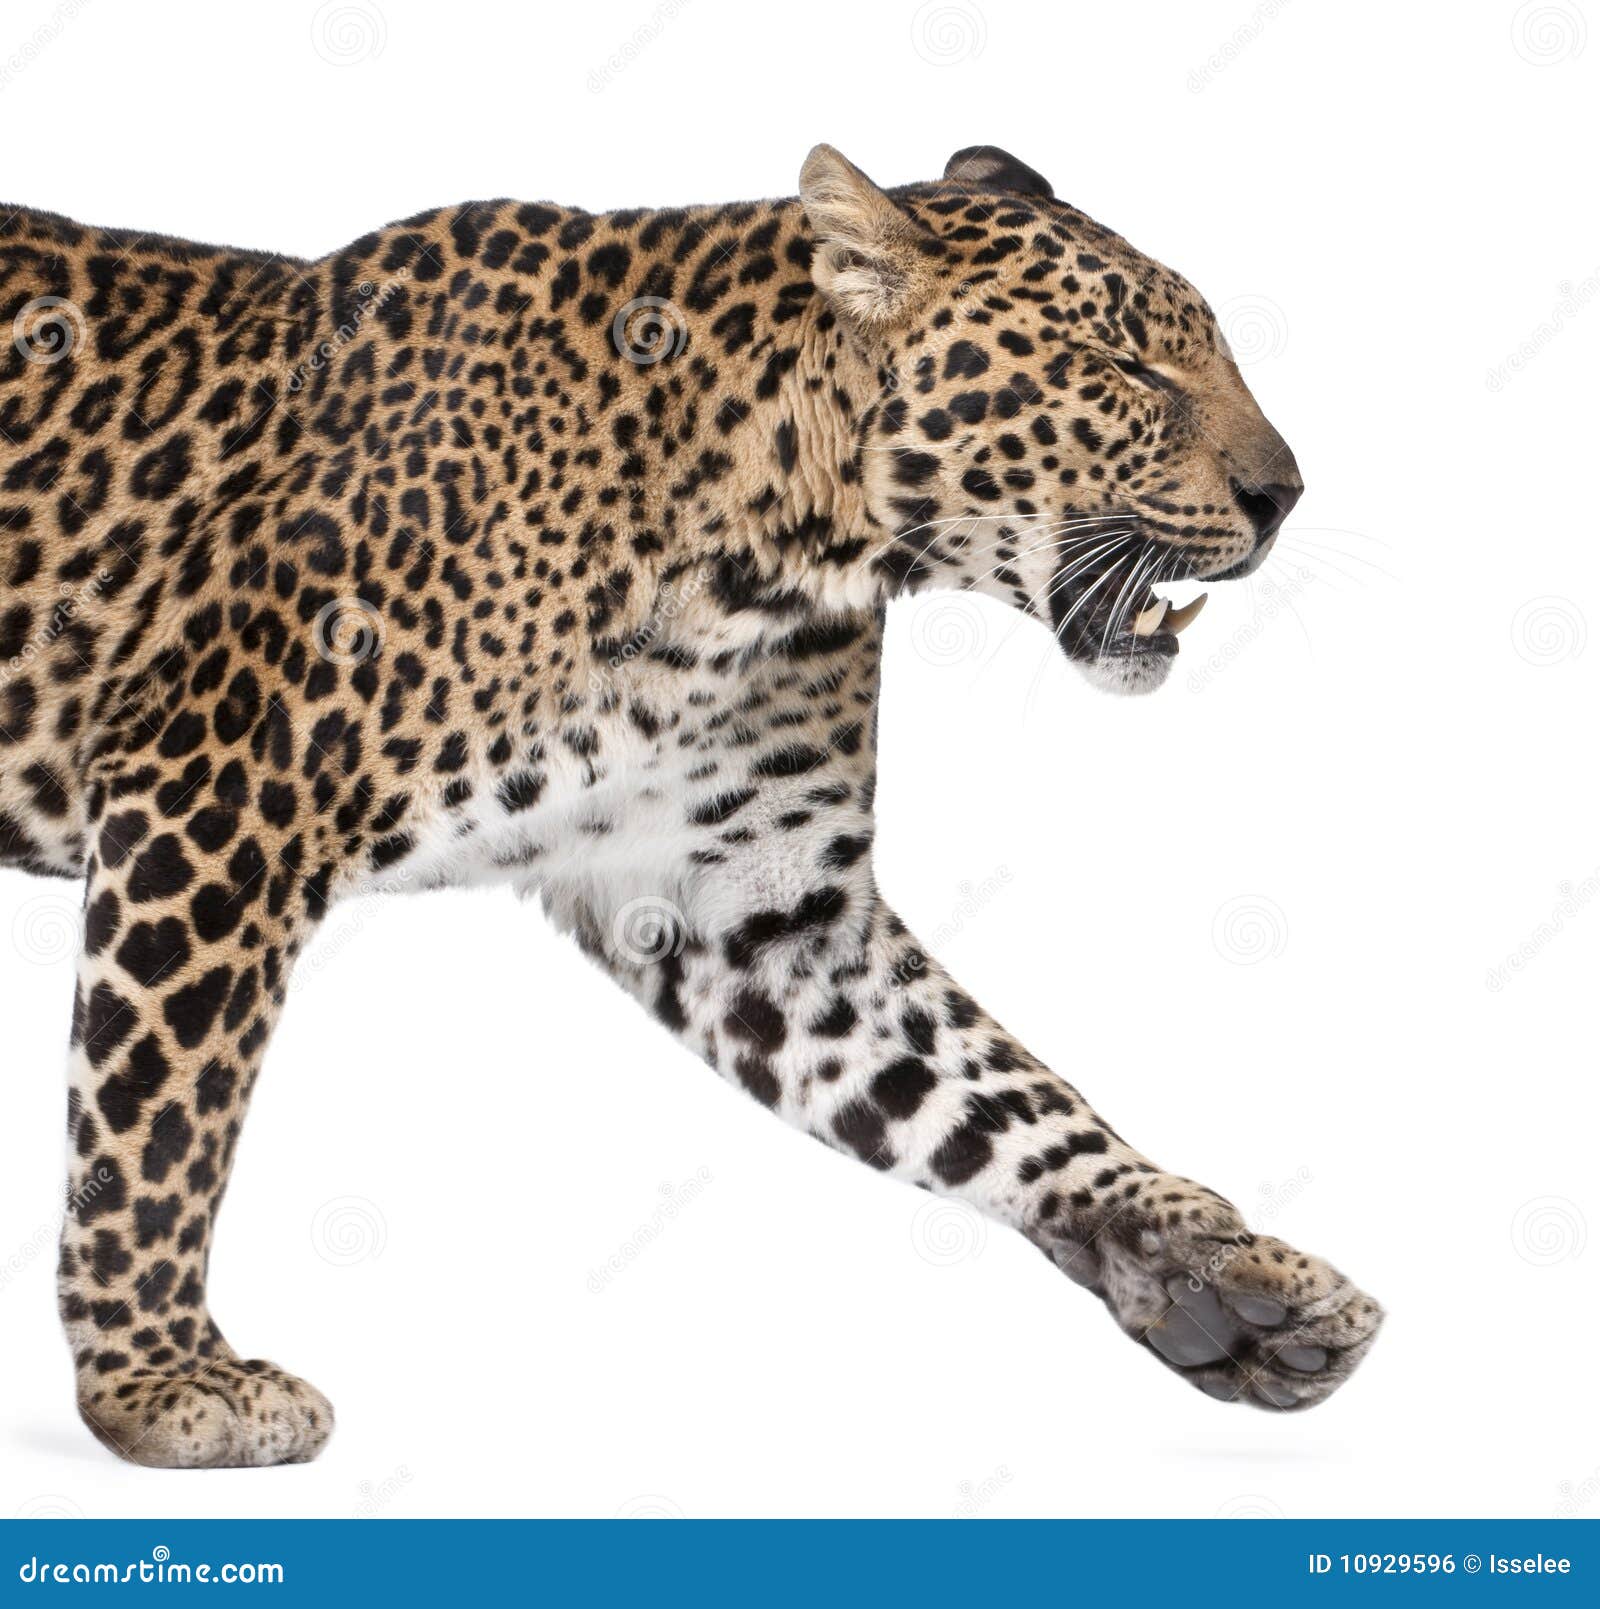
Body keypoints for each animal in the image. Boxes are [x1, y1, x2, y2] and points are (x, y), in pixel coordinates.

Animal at [0, 143, 1382, 1469]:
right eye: (1122, 365)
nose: (1285, 494)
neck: (768, 559)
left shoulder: (752, 908)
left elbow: (998, 1100)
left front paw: (1215, 1274)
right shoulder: (219, 795)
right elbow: (157, 1129)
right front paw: (160, 1381)